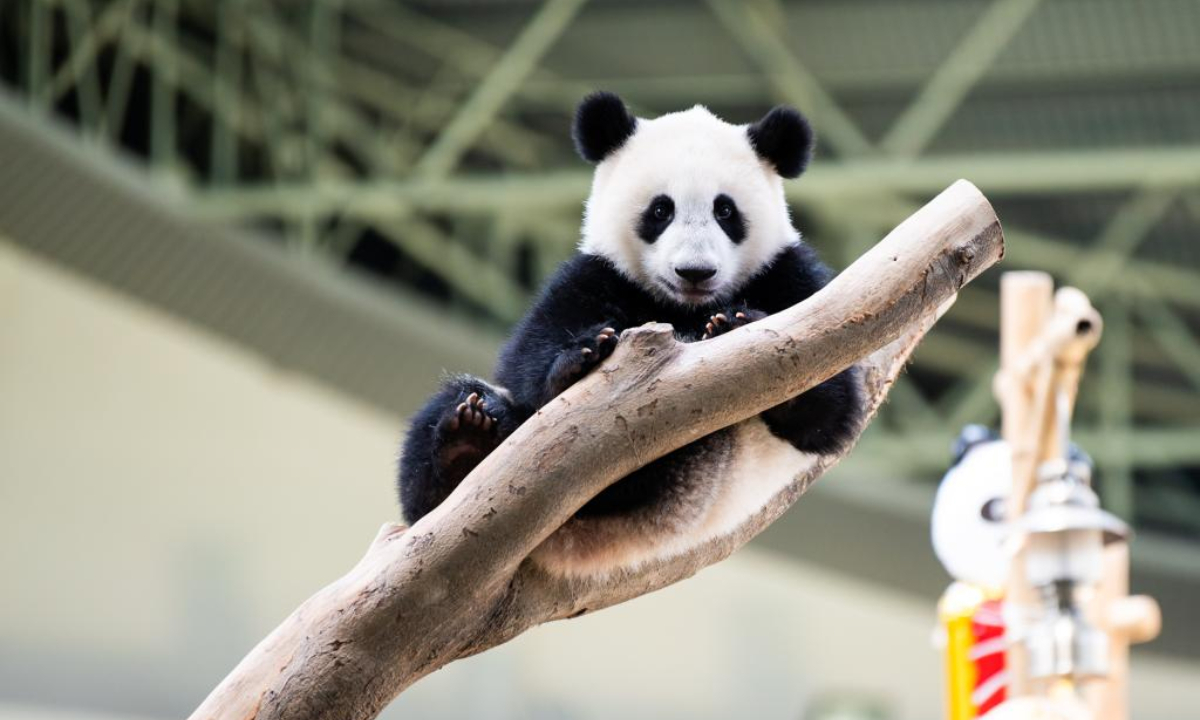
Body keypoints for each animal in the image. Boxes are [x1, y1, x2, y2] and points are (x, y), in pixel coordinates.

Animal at [398, 92, 864, 576]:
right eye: (661, 210)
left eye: (725, 210)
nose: (694, 272)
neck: (683, 308)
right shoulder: (599, 272)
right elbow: (525, 359)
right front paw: (580, 357)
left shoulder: (790, 276)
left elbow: (832, 409)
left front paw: (738, 322)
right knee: (448, 419)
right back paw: (466, 440)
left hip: (689, 474)